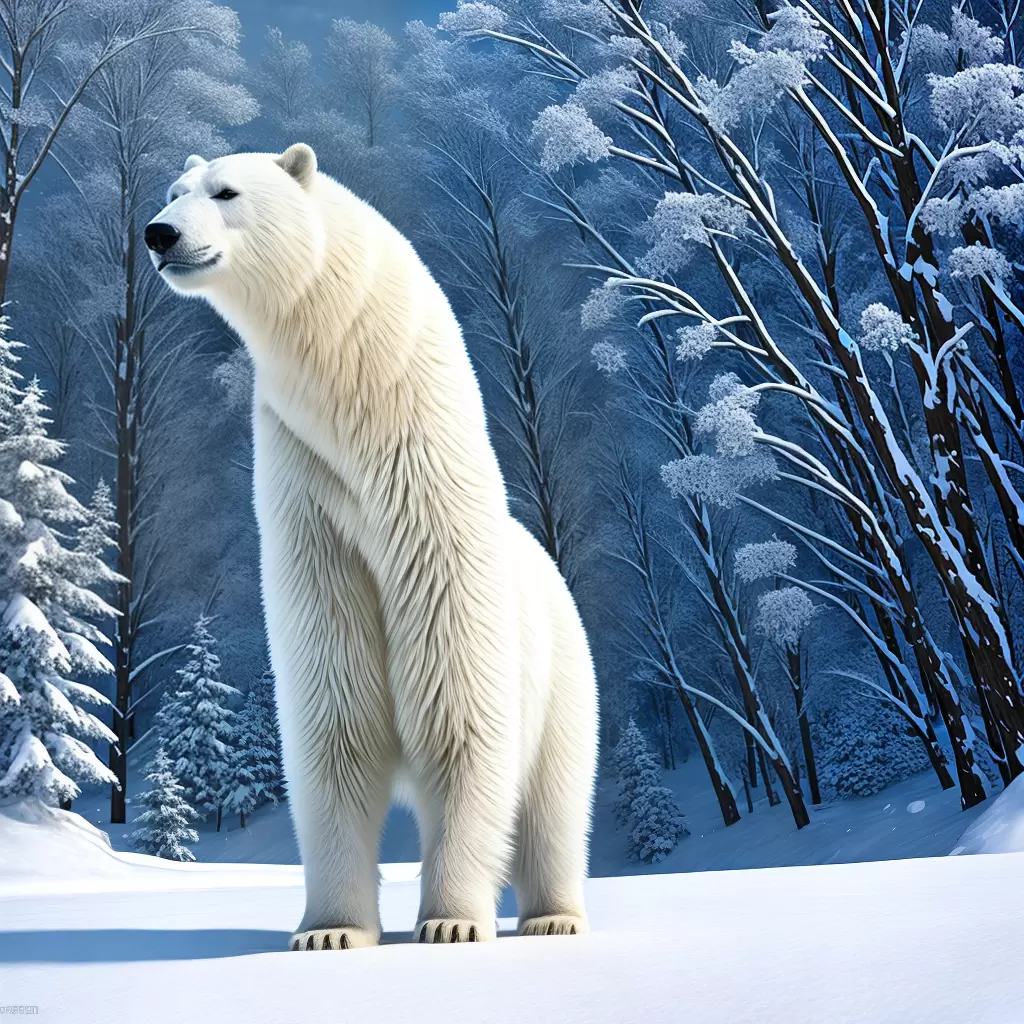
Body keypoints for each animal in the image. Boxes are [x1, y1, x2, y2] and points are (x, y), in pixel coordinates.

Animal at [145, 144, 599, 949]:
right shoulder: (314, 517)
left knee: (554, 805)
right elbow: (336, 733)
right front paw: (328, 931)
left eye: (225, 191)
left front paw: (451, 920)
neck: (367, 439)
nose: (159, 233)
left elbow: (462, 725)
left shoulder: (438, 544)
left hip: (565, 682)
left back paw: (554, 916)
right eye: (174, 189)